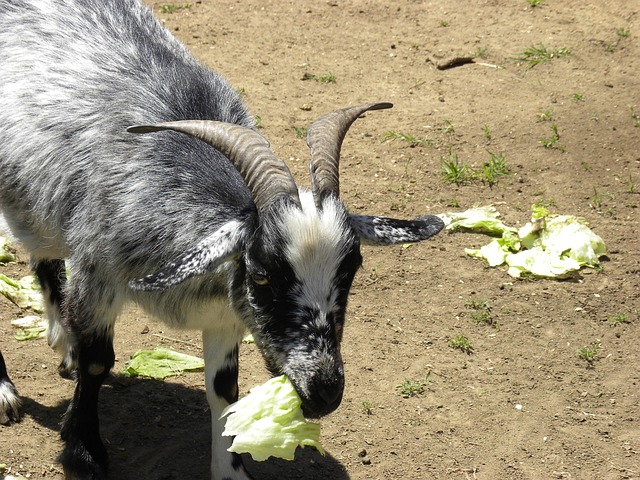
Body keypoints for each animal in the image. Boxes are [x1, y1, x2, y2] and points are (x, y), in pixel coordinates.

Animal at [0, 0, 444, 478]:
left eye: (352, 269)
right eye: (262, 274)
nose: (325, 392)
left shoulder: (226, 314)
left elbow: (223, 388)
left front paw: (231, 468)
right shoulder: (98, 276)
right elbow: (98, 361)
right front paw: (82, 453)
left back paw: (61, 340)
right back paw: (7, 392)